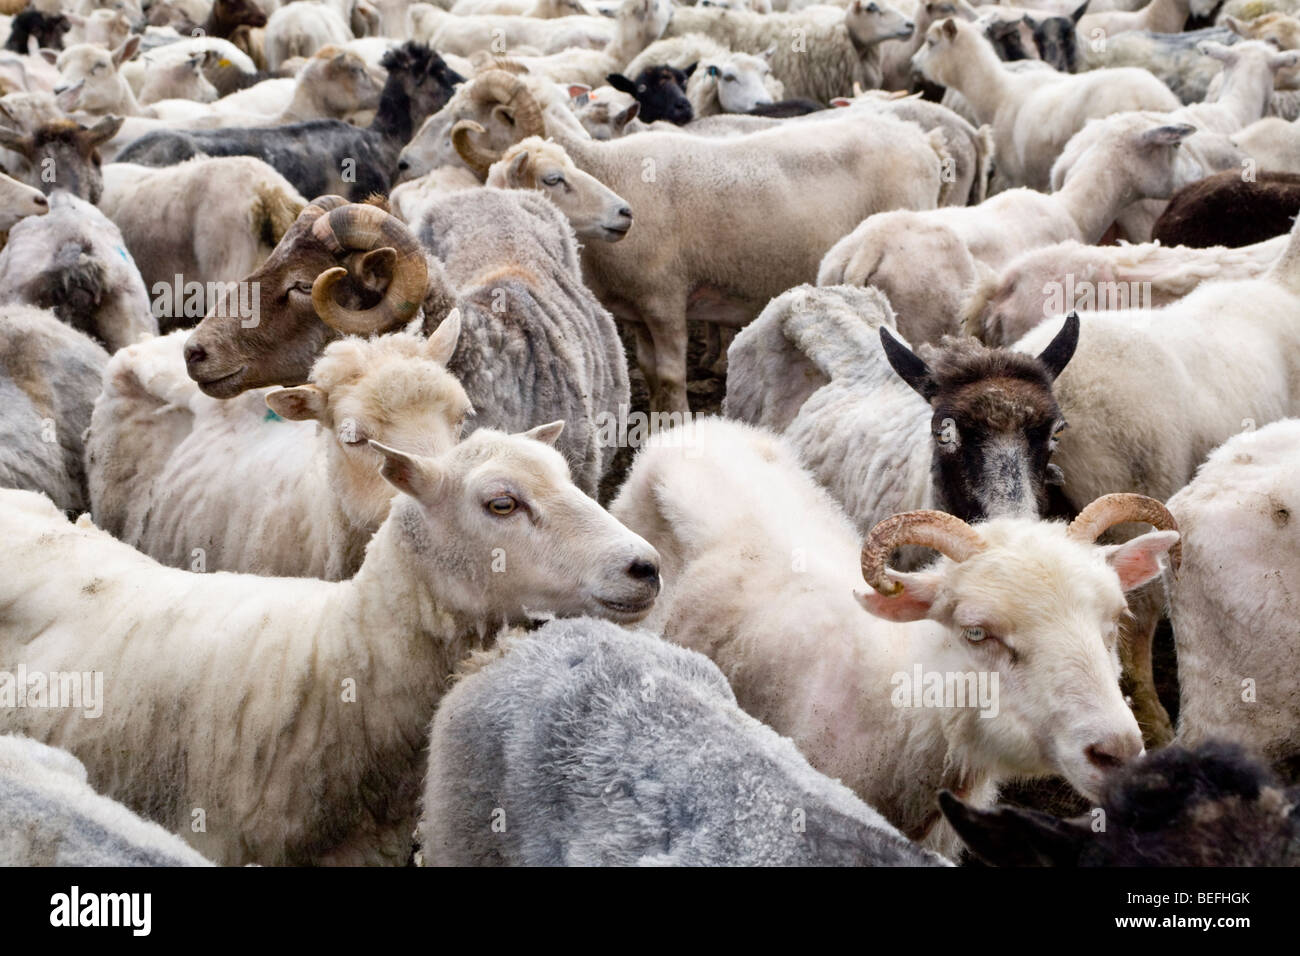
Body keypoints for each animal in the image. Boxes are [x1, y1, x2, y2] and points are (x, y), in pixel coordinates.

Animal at [399, 69, 951, 412]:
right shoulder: (635, 310)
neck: (609, 169)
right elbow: (646, 369)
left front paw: (679, 419)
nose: (401, 161)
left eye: (462, 116)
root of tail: (921, 141)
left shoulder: (665, 299)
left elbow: (667, 372)